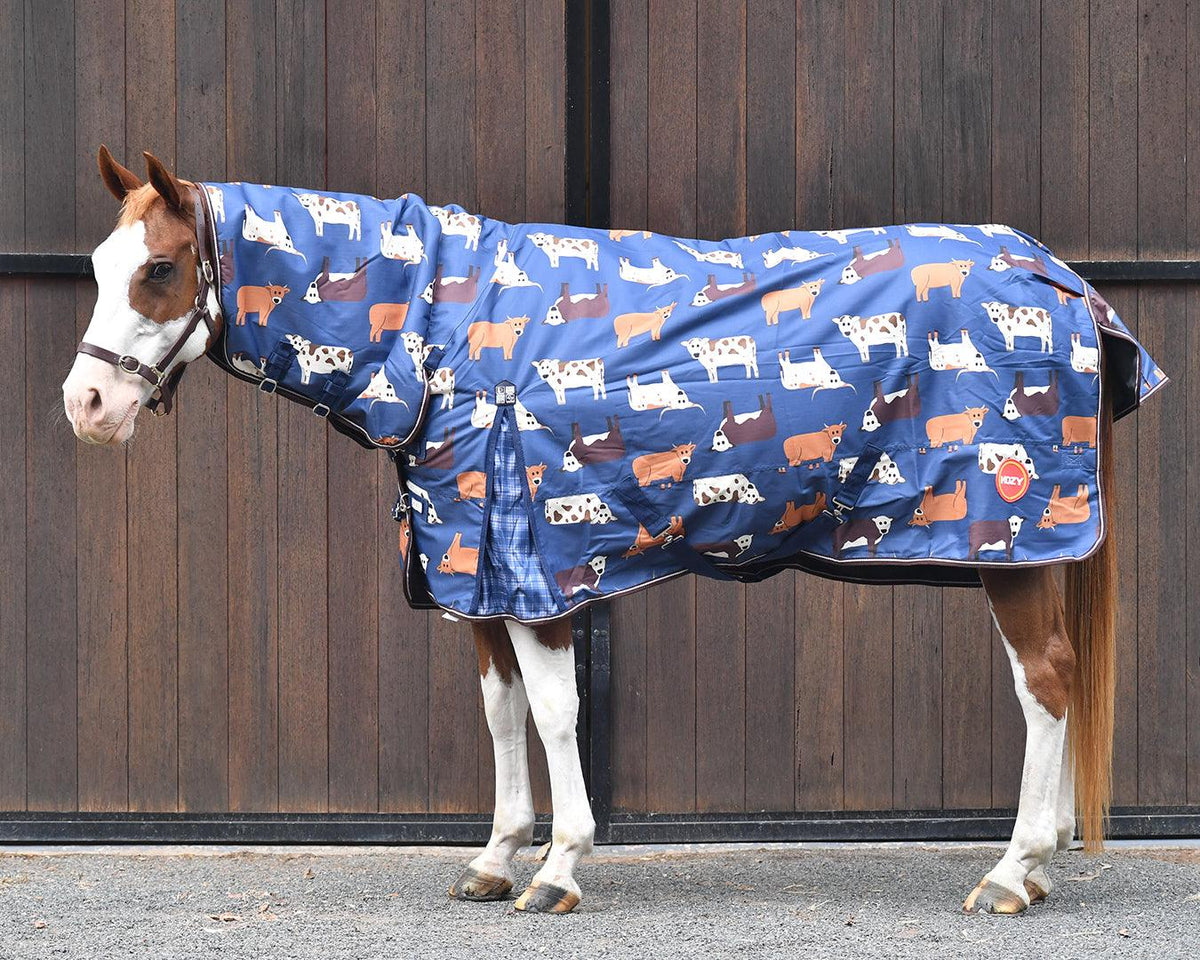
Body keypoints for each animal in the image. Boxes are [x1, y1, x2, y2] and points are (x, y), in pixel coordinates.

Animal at [62, 146, 1129, 916]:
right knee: (1060, 682)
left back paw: (1012, 872)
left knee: (1045, 683)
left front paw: (558, 869)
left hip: (1010, 552)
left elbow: (555, 712)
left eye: (160, 268)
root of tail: (1057, 278)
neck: (446, 332)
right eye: (102, 267)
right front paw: (496, 858)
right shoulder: (477, 574)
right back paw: (1038, 869)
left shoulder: (541, 572)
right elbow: (500, 713)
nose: (87, 405)